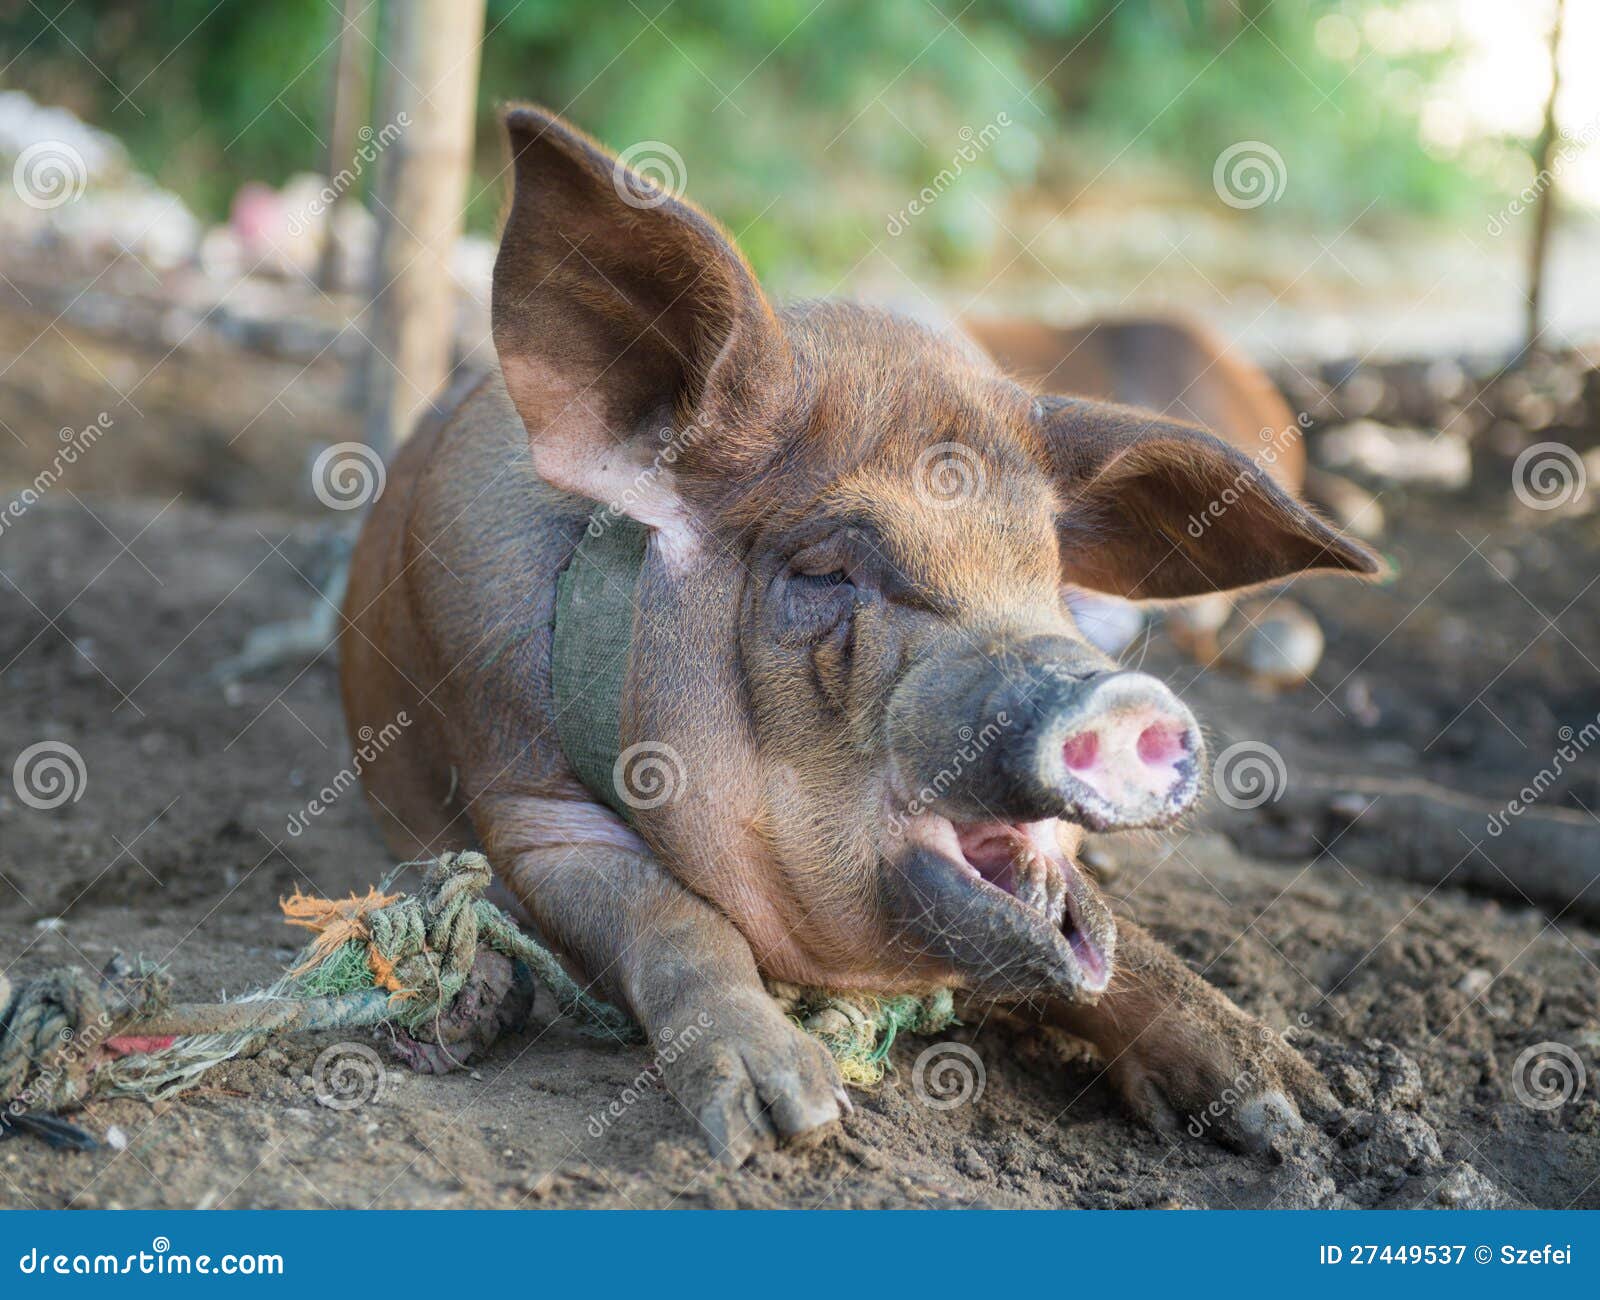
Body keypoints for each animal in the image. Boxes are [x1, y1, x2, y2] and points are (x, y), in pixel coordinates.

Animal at [340, 105, 1381, 1165]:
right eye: (825, 571)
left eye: (1048, 573)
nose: (1119, 696)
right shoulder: (520, 798)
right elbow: (671, 919)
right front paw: (786, 1123)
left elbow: (1120, 945)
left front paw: (1310, 1112)